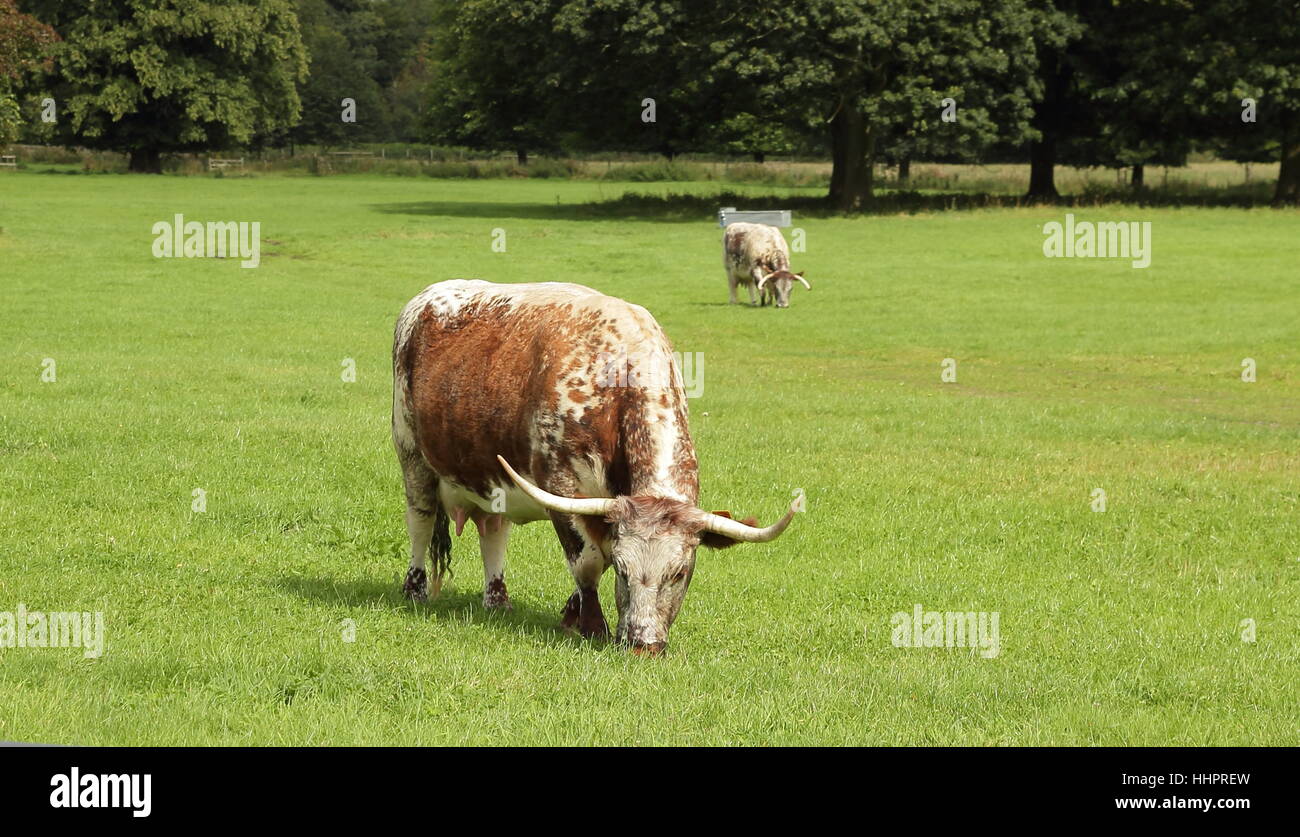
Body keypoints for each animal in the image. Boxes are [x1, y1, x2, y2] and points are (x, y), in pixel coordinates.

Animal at [392, 279, 798, 654]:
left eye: (679, 573)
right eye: (624, 570)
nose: (643, 646)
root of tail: (428, 294)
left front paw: (572, 615)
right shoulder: (562, 490)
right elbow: (589, 561)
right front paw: (591, 625)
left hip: (490, 480)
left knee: (493, 531)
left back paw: (497, 600)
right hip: (412, 456)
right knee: (421, 522)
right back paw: (415, 590)